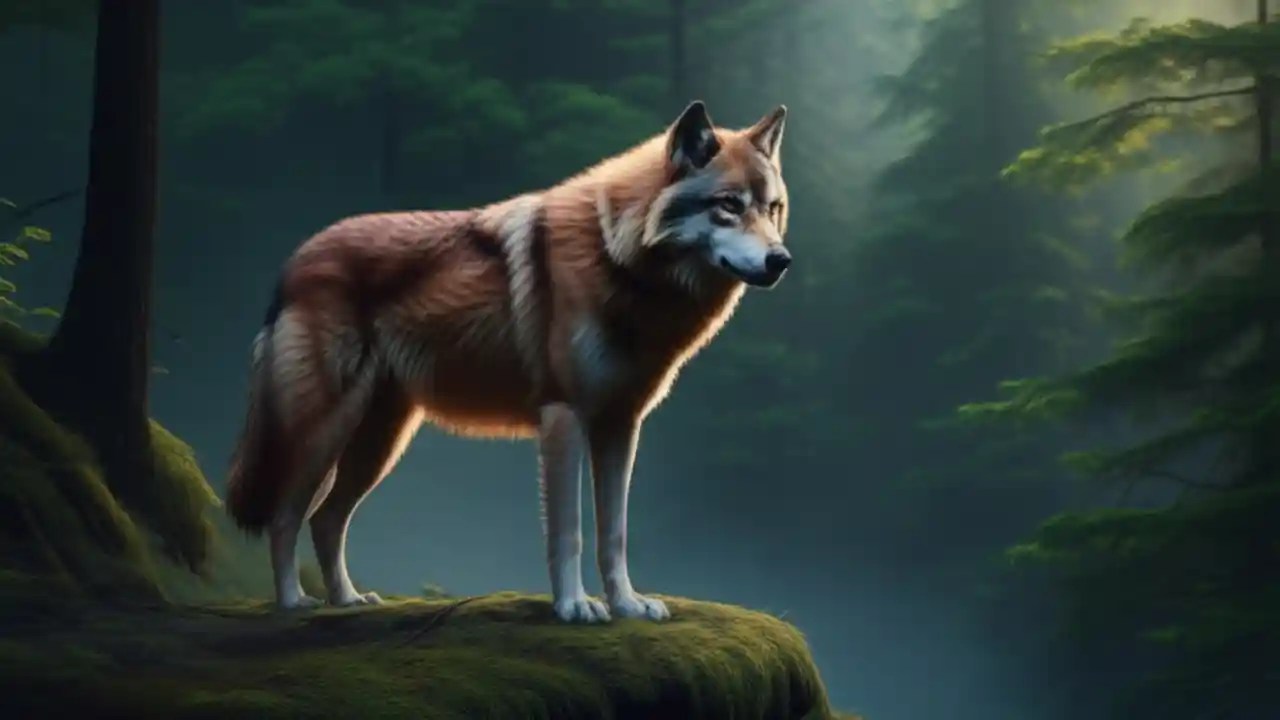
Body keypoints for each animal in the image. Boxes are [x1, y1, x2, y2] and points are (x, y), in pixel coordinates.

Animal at [225, 100, 792, 622]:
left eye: (773, 208)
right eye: (729, 205)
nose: (781, 260)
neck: (621, 260)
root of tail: (291, 265)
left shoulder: (620, 426)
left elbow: (614, 533)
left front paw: (627, 605)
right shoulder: (564, 418)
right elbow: (570, 531)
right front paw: (574, 606)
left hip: (380, 442)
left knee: (327, 519)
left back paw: (346, 600)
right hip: (326, 430)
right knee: (285, 516)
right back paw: (293, 603)